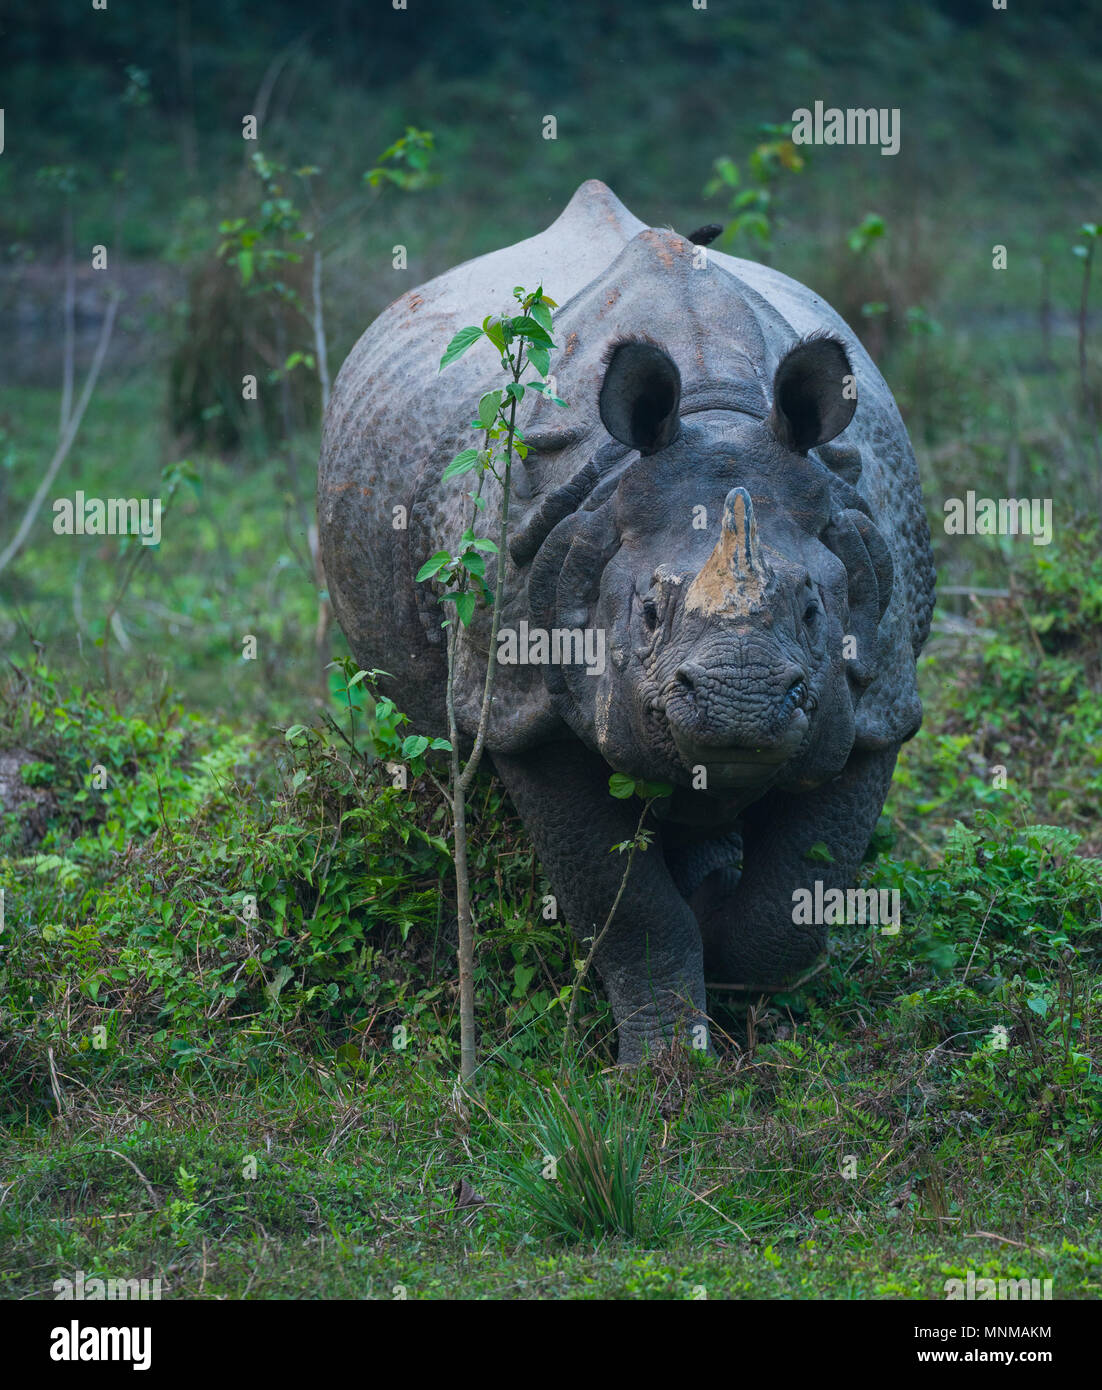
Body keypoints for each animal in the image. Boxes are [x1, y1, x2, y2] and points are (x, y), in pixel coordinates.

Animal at [318, 179, 935, 1062]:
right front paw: (666, 1065)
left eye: (817, 609)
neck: (720, 410)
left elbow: (798, 894)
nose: (740, 704)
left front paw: (731, 962)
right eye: (646, 612)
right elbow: (626, 907)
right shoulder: (522, 702)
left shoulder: (880, 692)